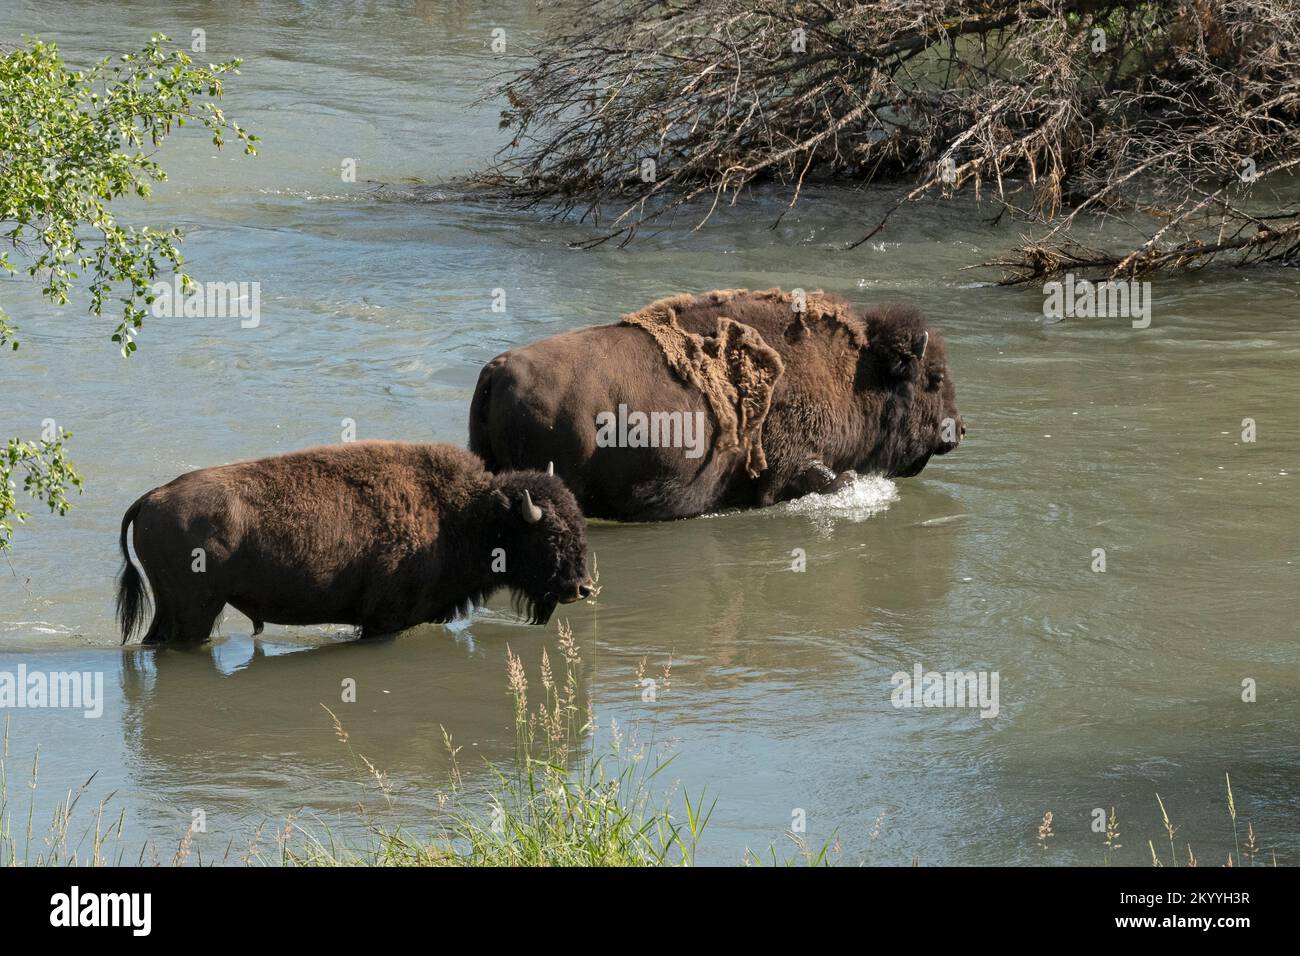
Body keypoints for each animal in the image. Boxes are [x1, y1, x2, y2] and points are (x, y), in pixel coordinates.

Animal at [116, 441, 593, 644]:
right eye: (552, 534)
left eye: (580, 524)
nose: (583, 587)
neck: (462, 513)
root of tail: (151, 498)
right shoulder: (384, 619)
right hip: (196, 611)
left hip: (173, 609)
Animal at [469, 288, 964, 521]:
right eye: (934, 378)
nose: (958, 429)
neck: (855, 374)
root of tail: (497, 369)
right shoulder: (795, 468)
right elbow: (834, 481)